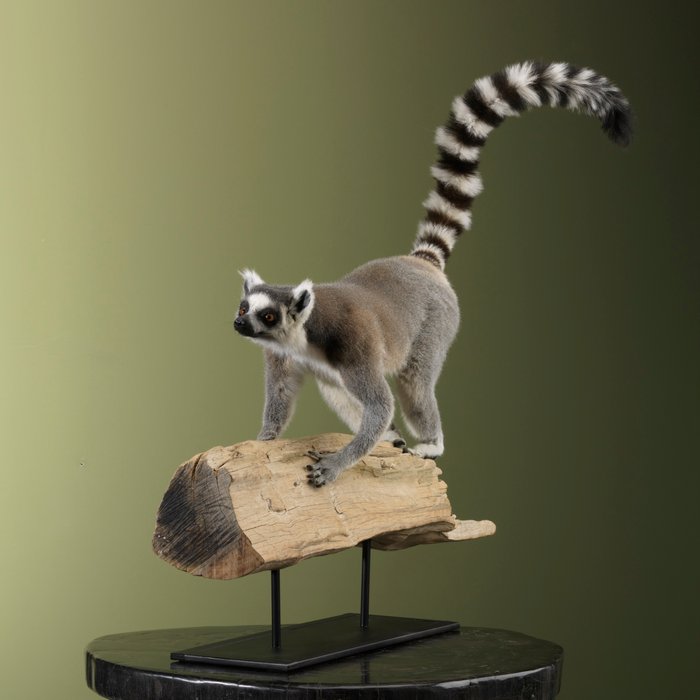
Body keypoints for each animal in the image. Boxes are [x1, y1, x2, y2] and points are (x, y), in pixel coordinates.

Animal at [233, 61, 632, 487]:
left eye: (267, 315)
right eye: (243, 308)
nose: (238, 324)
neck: (304, 336)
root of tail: (421, 262)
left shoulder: (353, 344)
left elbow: (380, 405)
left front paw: (336, 464)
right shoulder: (286, 355)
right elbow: (283, 395)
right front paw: (265, 439)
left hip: (437, 325)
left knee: (414, 384)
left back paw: (429, 444)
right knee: (343, 392)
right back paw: (393, 441)